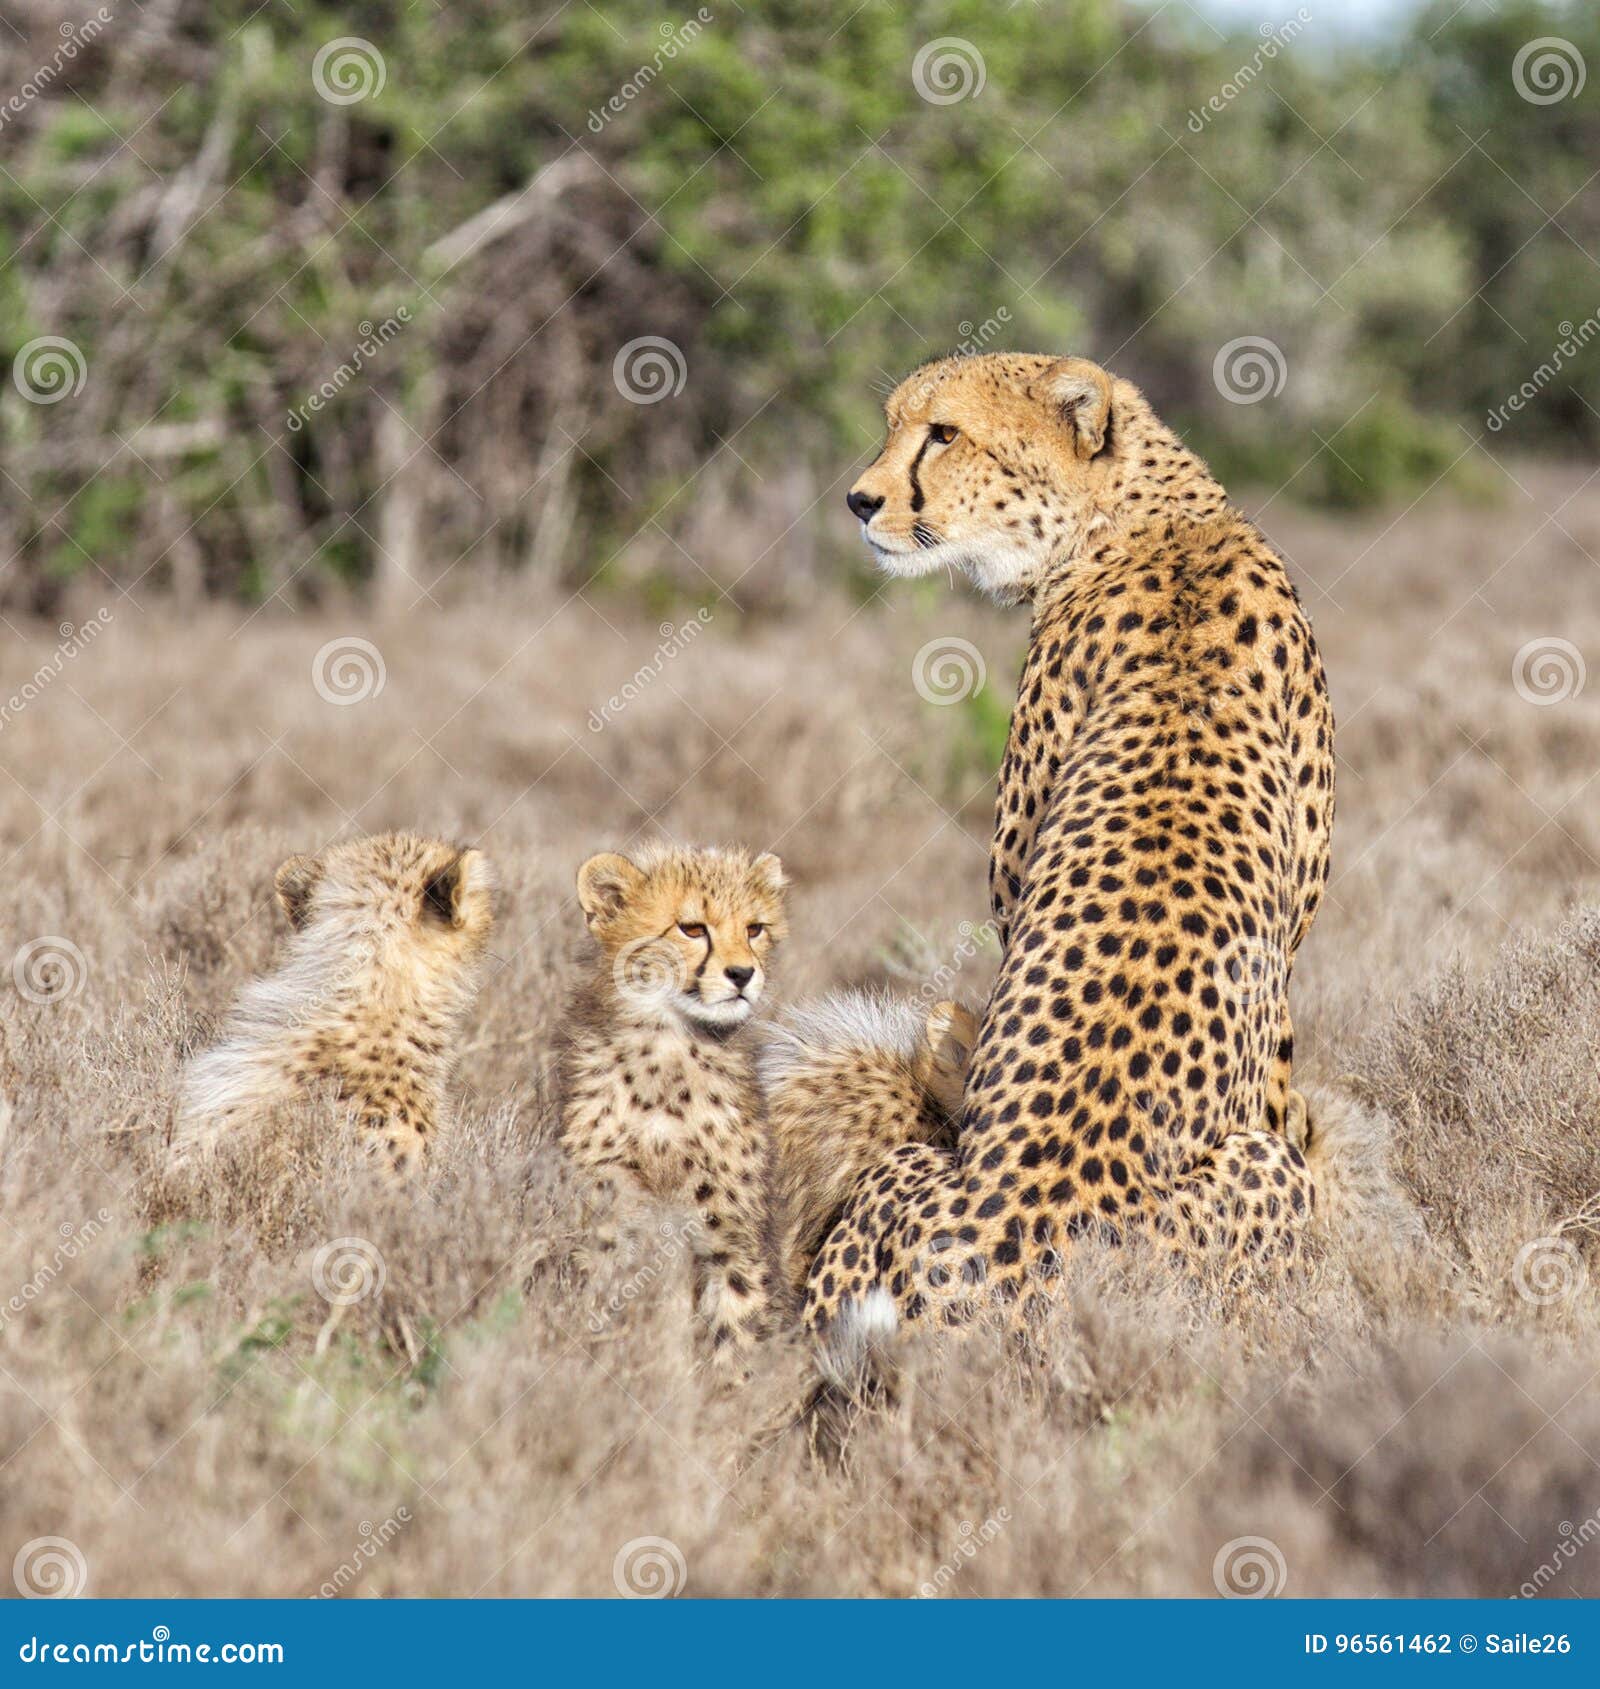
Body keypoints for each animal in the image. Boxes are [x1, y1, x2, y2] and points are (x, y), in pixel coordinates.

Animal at [555, 843, 788, 1369]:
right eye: (693, 928)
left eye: (754, 929)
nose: (743, 974)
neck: (670, 1049)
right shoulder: (606, 1223)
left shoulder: (732, 1237)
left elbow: (734, 1338)